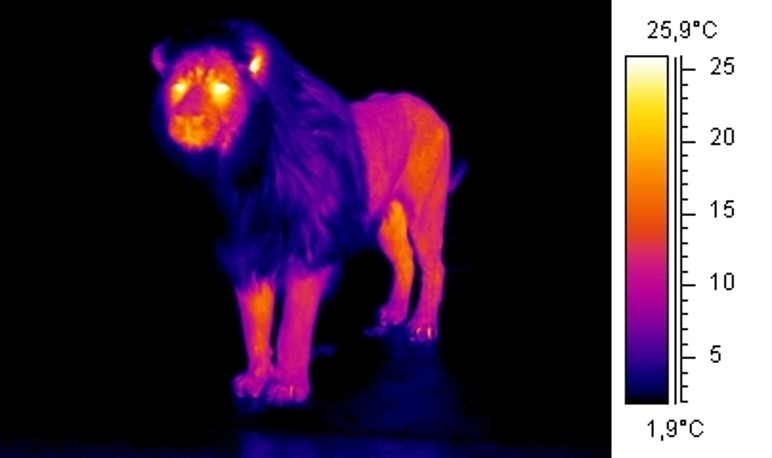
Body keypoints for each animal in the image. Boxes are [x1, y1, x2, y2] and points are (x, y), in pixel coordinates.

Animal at [150, 19, 464, 406]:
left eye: (222, 86)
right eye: (179, 85)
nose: (186, 116)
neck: (242, 170)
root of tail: (426, 106)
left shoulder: (307, 252)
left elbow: (292, 326)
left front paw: (288, 385)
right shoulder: (248, 252)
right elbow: (254, 323)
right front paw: (256, 378)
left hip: (425, 211)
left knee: (434, 266)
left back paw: (423, 324)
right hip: (386, 220)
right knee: (404, 260)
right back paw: (393, 313)